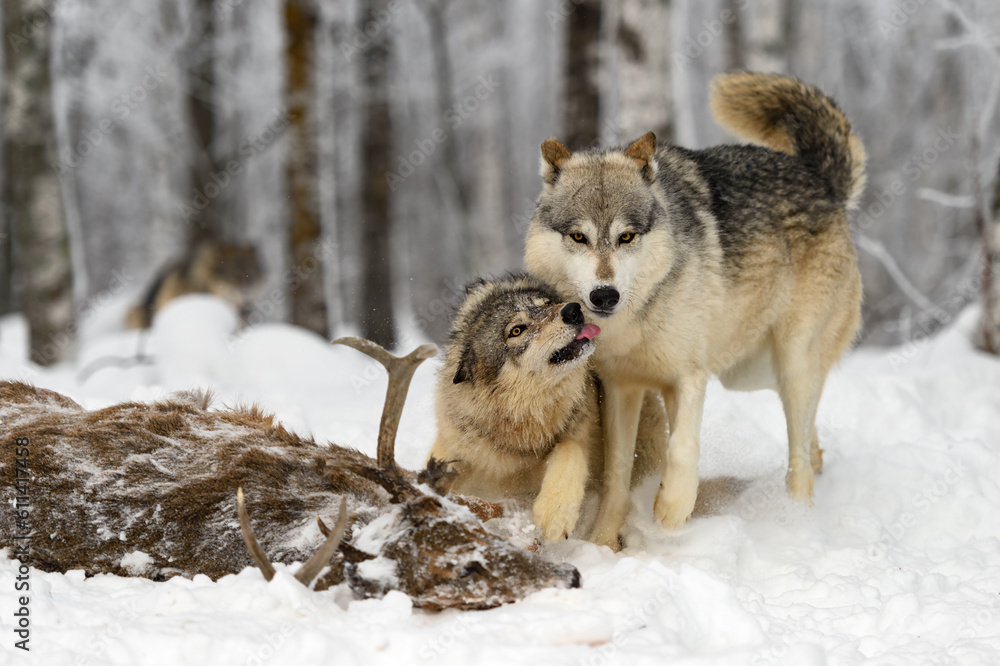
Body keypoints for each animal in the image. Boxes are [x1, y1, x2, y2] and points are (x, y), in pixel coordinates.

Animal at [428, 273, 666, 542]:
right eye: (517, 330)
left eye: (547, 304)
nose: (573, 310)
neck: (521, 430)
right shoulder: (456, 443)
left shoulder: (577, 431)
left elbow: (570, 448)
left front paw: (555, 514)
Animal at [524, 72, 867, 548]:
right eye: (578, 237)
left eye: (626, 237)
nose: (604, 296)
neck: (636, 321)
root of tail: (822, 180)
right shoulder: (621, 386)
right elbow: (617, 471)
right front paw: (603, 542)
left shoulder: (689, 376)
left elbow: (682, 448)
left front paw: (671, 510)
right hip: (751, 374)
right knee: (812, 432)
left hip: (789, 361)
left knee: (799, 450)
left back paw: (797, 520)